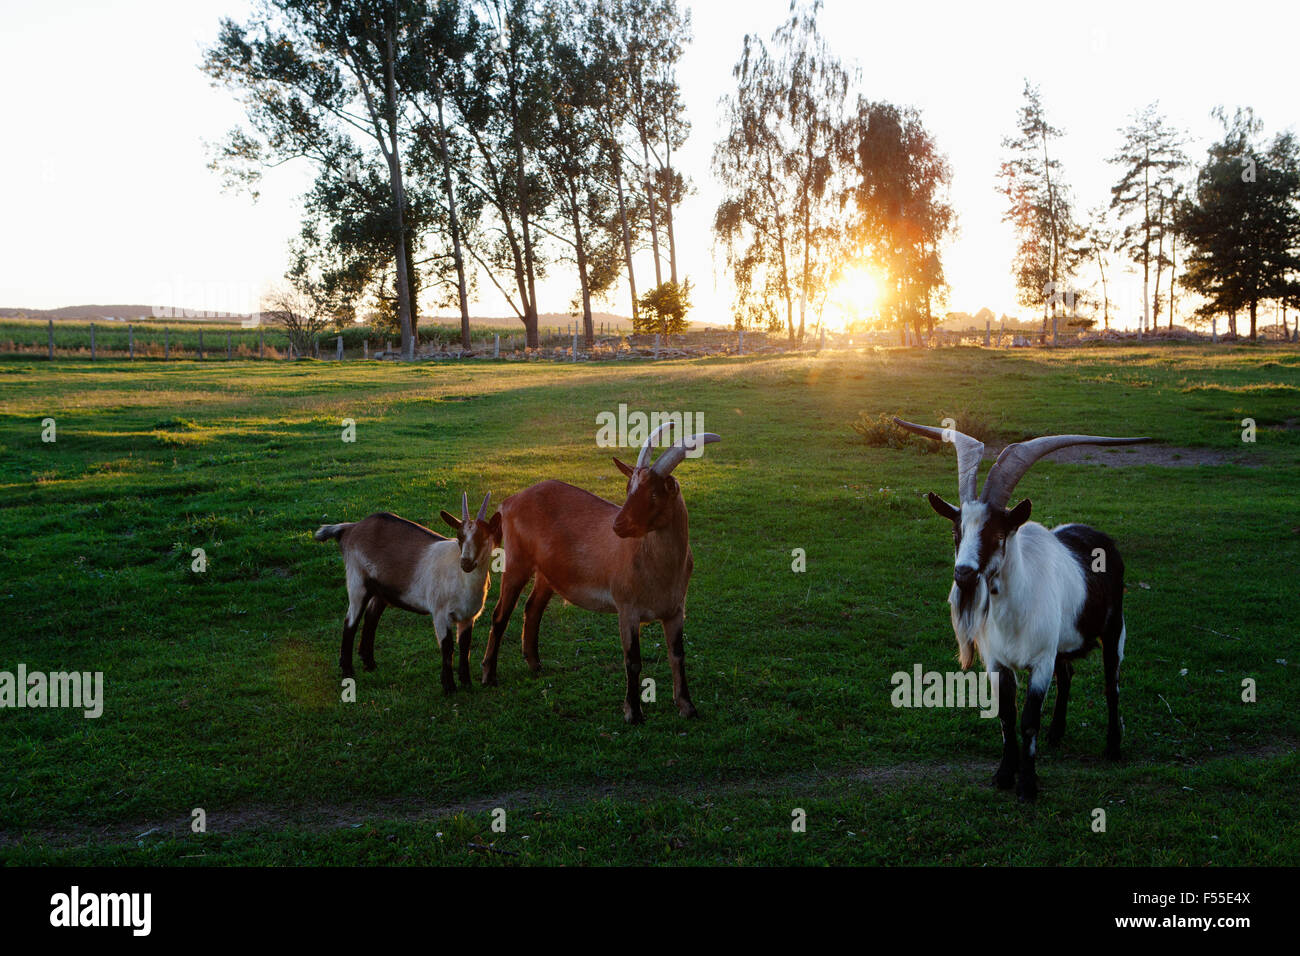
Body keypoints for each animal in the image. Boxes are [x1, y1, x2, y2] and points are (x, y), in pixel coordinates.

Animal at [314, 492, 502, 694]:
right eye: (459, 536)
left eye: (483, 536)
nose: (466, 563)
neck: (462, 580)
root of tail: (351, 528)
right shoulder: (440, 613)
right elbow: (447, 647)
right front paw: (449, 687)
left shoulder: (468, 616)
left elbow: (465, 646)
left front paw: (466, 683)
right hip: (357, 582)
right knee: (350, 622)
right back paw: (348, 670)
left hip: (381, 591)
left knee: (371, 618)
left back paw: (370, 664)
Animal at [480, 423, 720, 723]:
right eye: (629, 488)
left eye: (654, 494)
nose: (618, 525)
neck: (658, 568)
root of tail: (510, 501)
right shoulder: (627, 608)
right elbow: (633, 659)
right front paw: (633, 713)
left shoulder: (676, 609)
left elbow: (677, 654)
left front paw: (687, 706)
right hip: (516, 562)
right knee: (500, 614)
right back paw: (489, 676)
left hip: (547, 574)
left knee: (532, 608)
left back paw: (535, 664)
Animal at [894, 418, 1150, 801]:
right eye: (957, 532)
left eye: (997, 534)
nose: (964, 574)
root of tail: (1098, 535)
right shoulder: (997, 662)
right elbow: (1006, 716)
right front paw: (1004, 775)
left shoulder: (1040, 661)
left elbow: (1028, 720)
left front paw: (1028, 785)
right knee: (1068, 674)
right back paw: (1056, 734)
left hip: (1114, 630)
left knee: (1111, 684)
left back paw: (1113, 748)